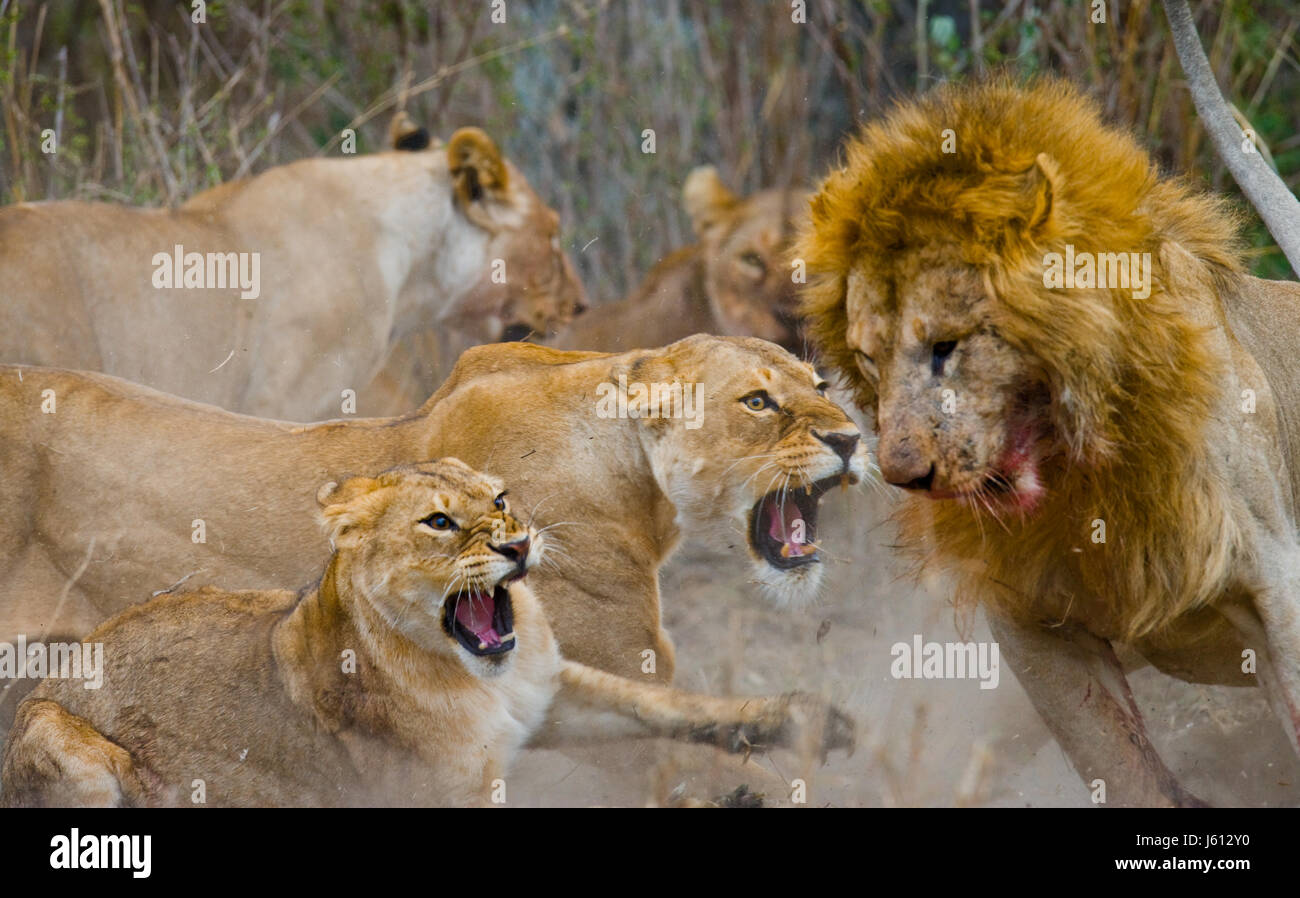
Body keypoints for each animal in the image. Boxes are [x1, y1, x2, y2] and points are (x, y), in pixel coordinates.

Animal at [0, 459, 850, 807]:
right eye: (439, 523)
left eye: (500, 499)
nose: (518, 544)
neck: (475, 676)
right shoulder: (443, 795)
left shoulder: (548, 692)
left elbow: (662, 705)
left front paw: (803, 720)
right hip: (63, 742)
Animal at [798, 76, 1300, 807]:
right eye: (868, 360)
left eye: (946, 346)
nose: (903, 475)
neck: (1077, 476)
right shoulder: (1029, 622)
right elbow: (1123, 770)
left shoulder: (1275, 580)